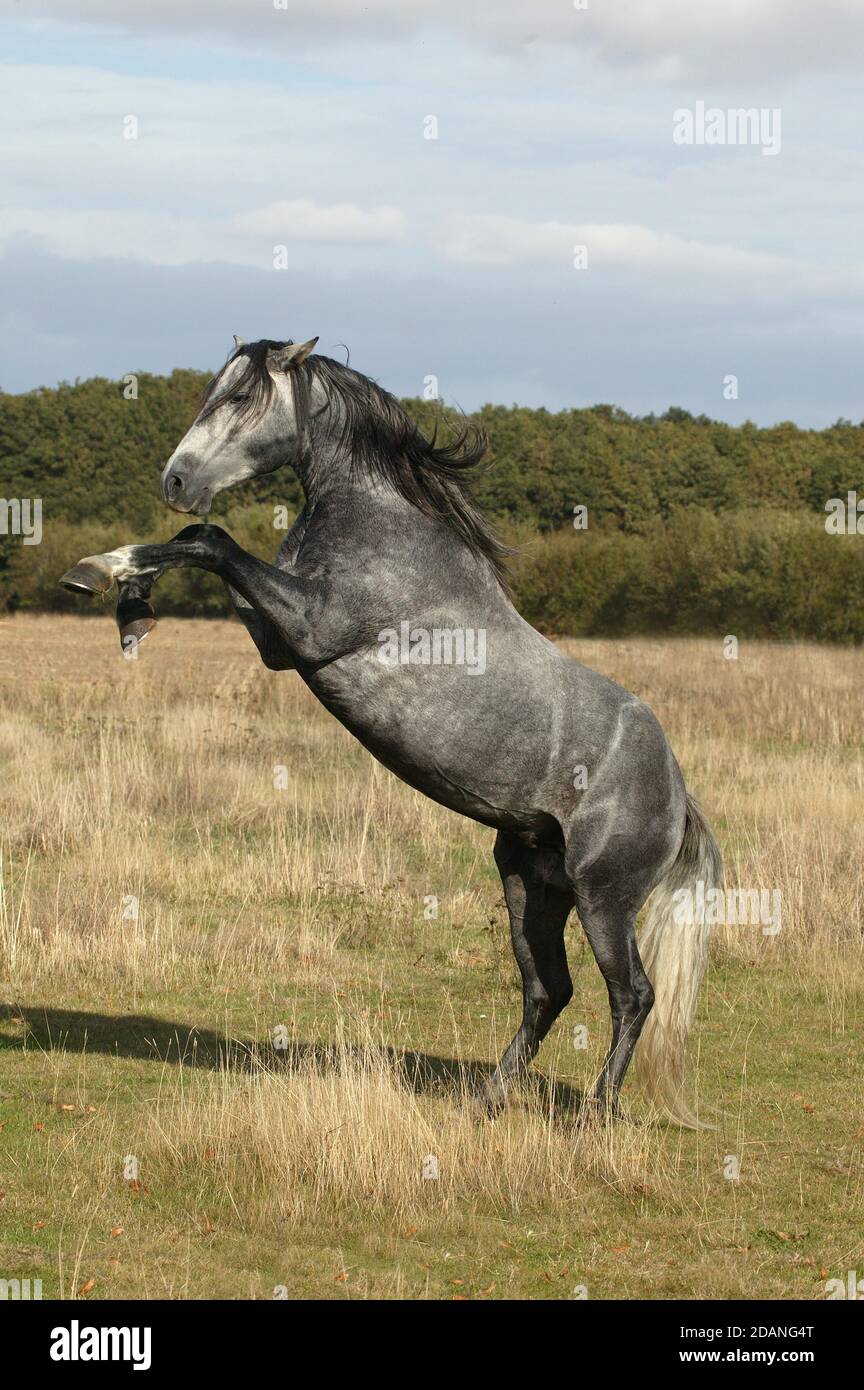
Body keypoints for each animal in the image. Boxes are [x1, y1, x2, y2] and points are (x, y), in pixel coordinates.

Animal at [60, 335, 722, 1126]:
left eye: (244, 397)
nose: (177, 479)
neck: (378, 525)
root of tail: (680, 797)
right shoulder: (280, 641)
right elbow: (198, 540)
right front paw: (126, 600)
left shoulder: (310, 630)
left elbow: (213, 541)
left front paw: (99, 571)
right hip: (531, 884)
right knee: (547, 990)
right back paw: (485, 1101)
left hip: (605, 897)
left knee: (632, 996)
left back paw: (594, 1114)